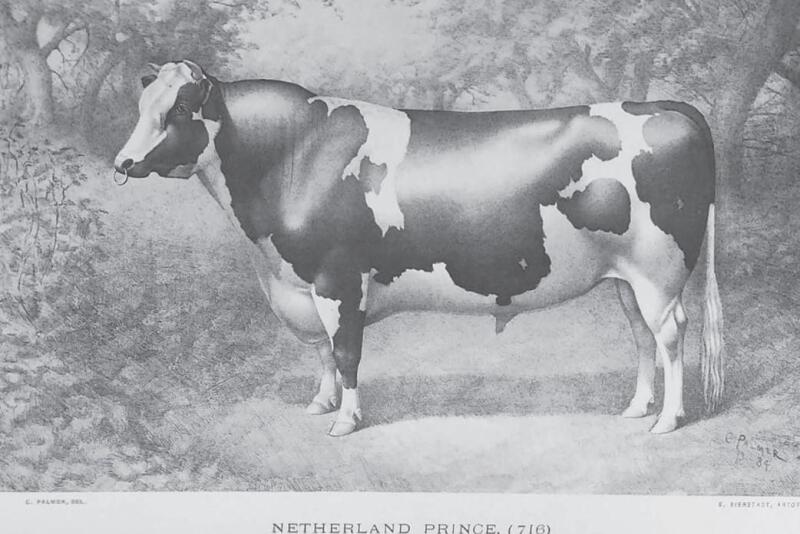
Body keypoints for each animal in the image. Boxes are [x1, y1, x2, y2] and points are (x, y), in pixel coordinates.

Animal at [114, 60, 724, 437]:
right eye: (142, 105)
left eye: (178, 110)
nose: (123, 162)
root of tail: (667, 106)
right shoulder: (302, 285)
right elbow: (321, 351)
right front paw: (320, 402)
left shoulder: (338, 279)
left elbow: (346, 352)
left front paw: (345, 421)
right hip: (625, 278)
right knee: (643, 337)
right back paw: (637, 407)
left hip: (659, 271)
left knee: (671, 334)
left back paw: (668, 419)